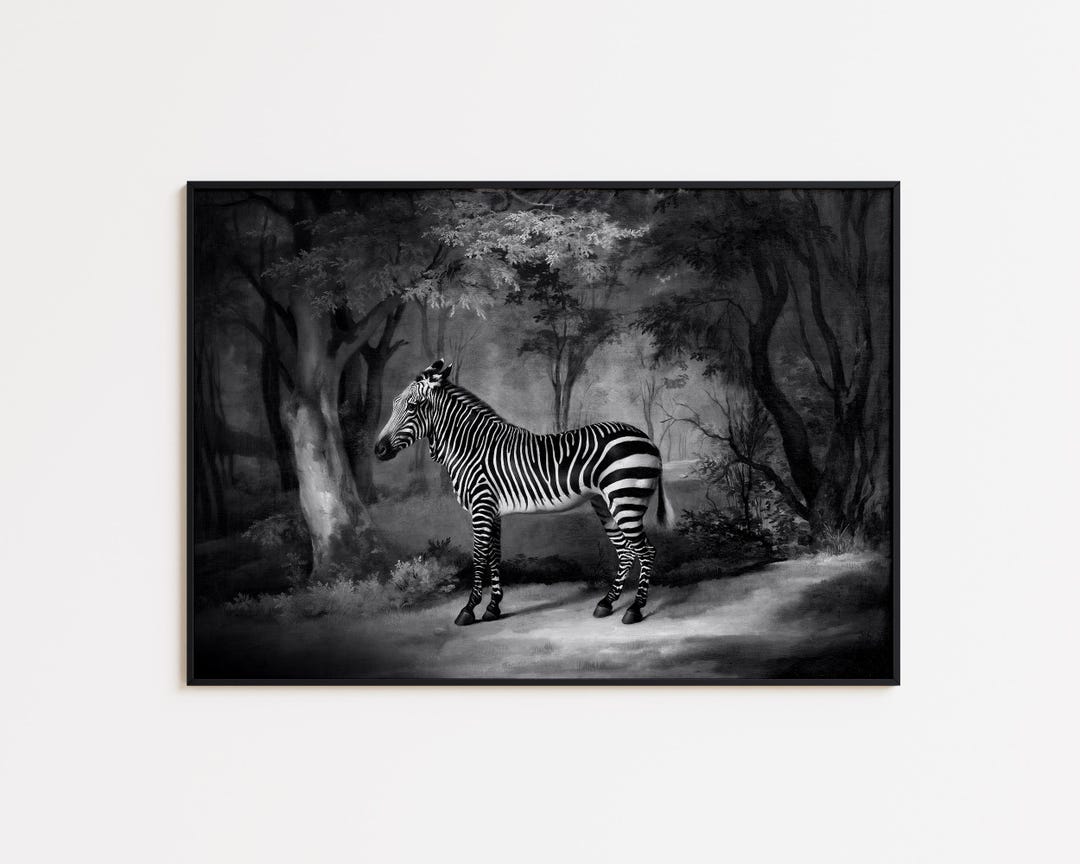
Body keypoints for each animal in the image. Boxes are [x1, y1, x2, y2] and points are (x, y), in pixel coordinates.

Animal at [374, 359, 669, 626]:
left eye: (412, 406)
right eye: (394, 404)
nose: (378, 450)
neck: (471, 447)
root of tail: (647, 438)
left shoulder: (481, 508)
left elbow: (479, 558)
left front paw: (468, 610)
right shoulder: (492, 511)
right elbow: (494, 557)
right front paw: (493, 608)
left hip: (625, 499)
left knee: (646, 551)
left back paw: (635, 609)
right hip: (605, 503)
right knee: (627, 552)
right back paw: (606, 603)